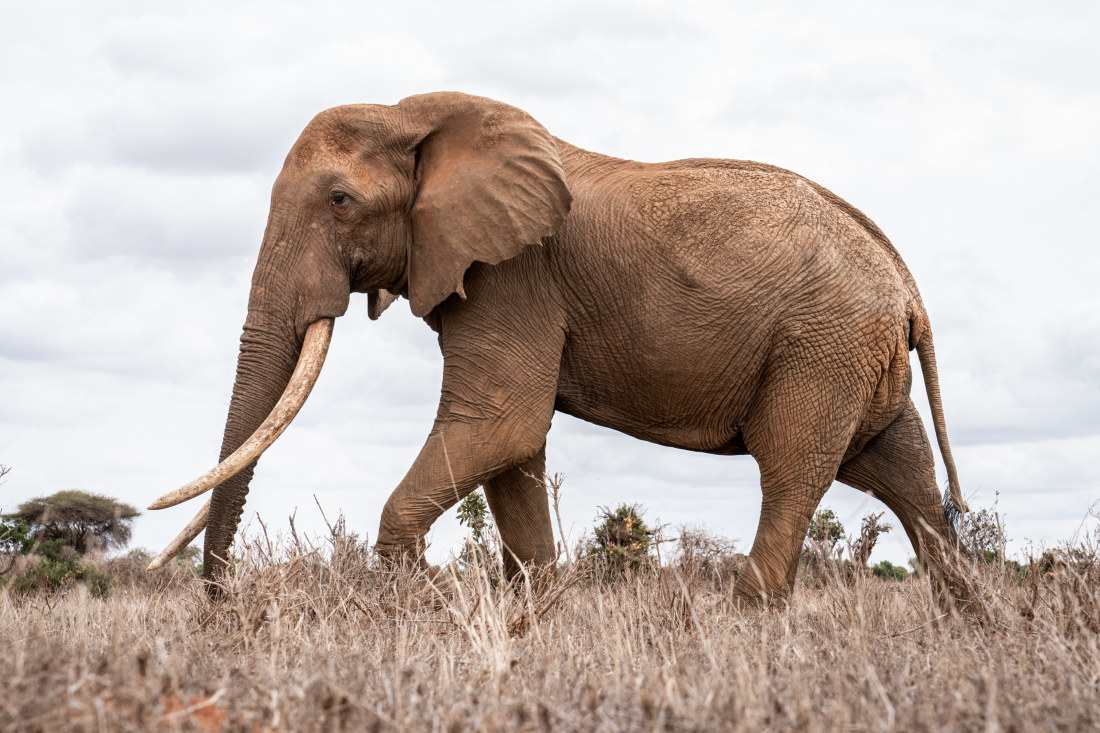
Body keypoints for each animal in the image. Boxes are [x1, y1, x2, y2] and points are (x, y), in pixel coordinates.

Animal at [148, 91, 968, 606]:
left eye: (340, 201)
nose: (223, 607)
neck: (417, 116)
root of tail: (906, 285)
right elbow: (512, 454)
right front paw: (531, 625)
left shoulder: (512, 276)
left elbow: (500, 427)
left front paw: (427, 607)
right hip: (855, 358)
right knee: (908, 481)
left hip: (821, 349)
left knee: (793, 474)